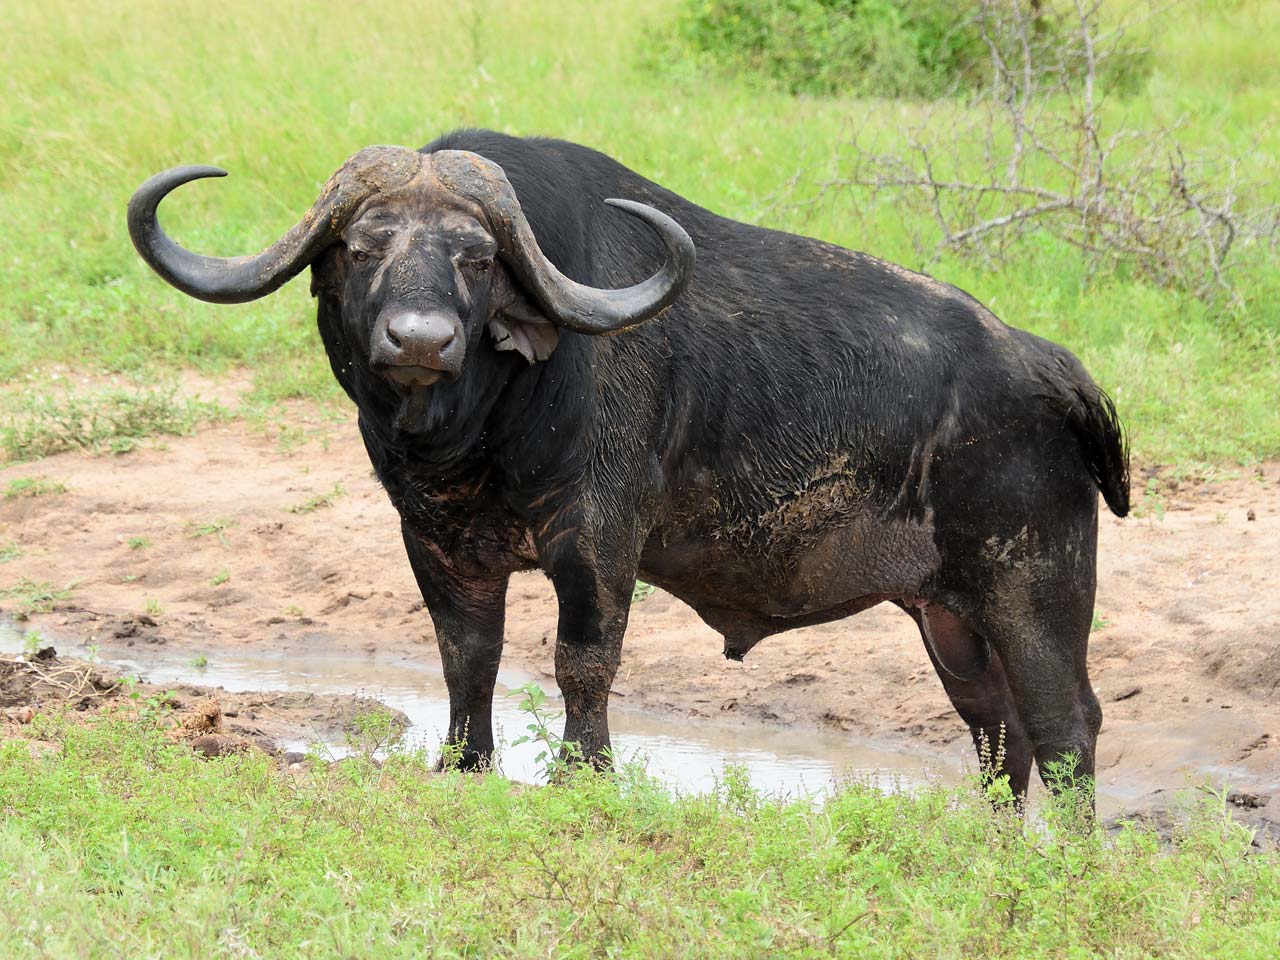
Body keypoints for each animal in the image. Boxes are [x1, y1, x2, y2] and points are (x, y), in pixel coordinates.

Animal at [128, 129, 1128, 801]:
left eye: (476, 257)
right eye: (363, 247)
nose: (420, 341)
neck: (483, 427)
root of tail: (1051, 367)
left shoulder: (597, 535)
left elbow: (582, 659)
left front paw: (583, 776)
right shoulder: (435, 541)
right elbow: (466, 656)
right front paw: (464, 764)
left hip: (1035, 583)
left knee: (1066, 724)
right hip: (950, 617)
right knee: (998, 731)